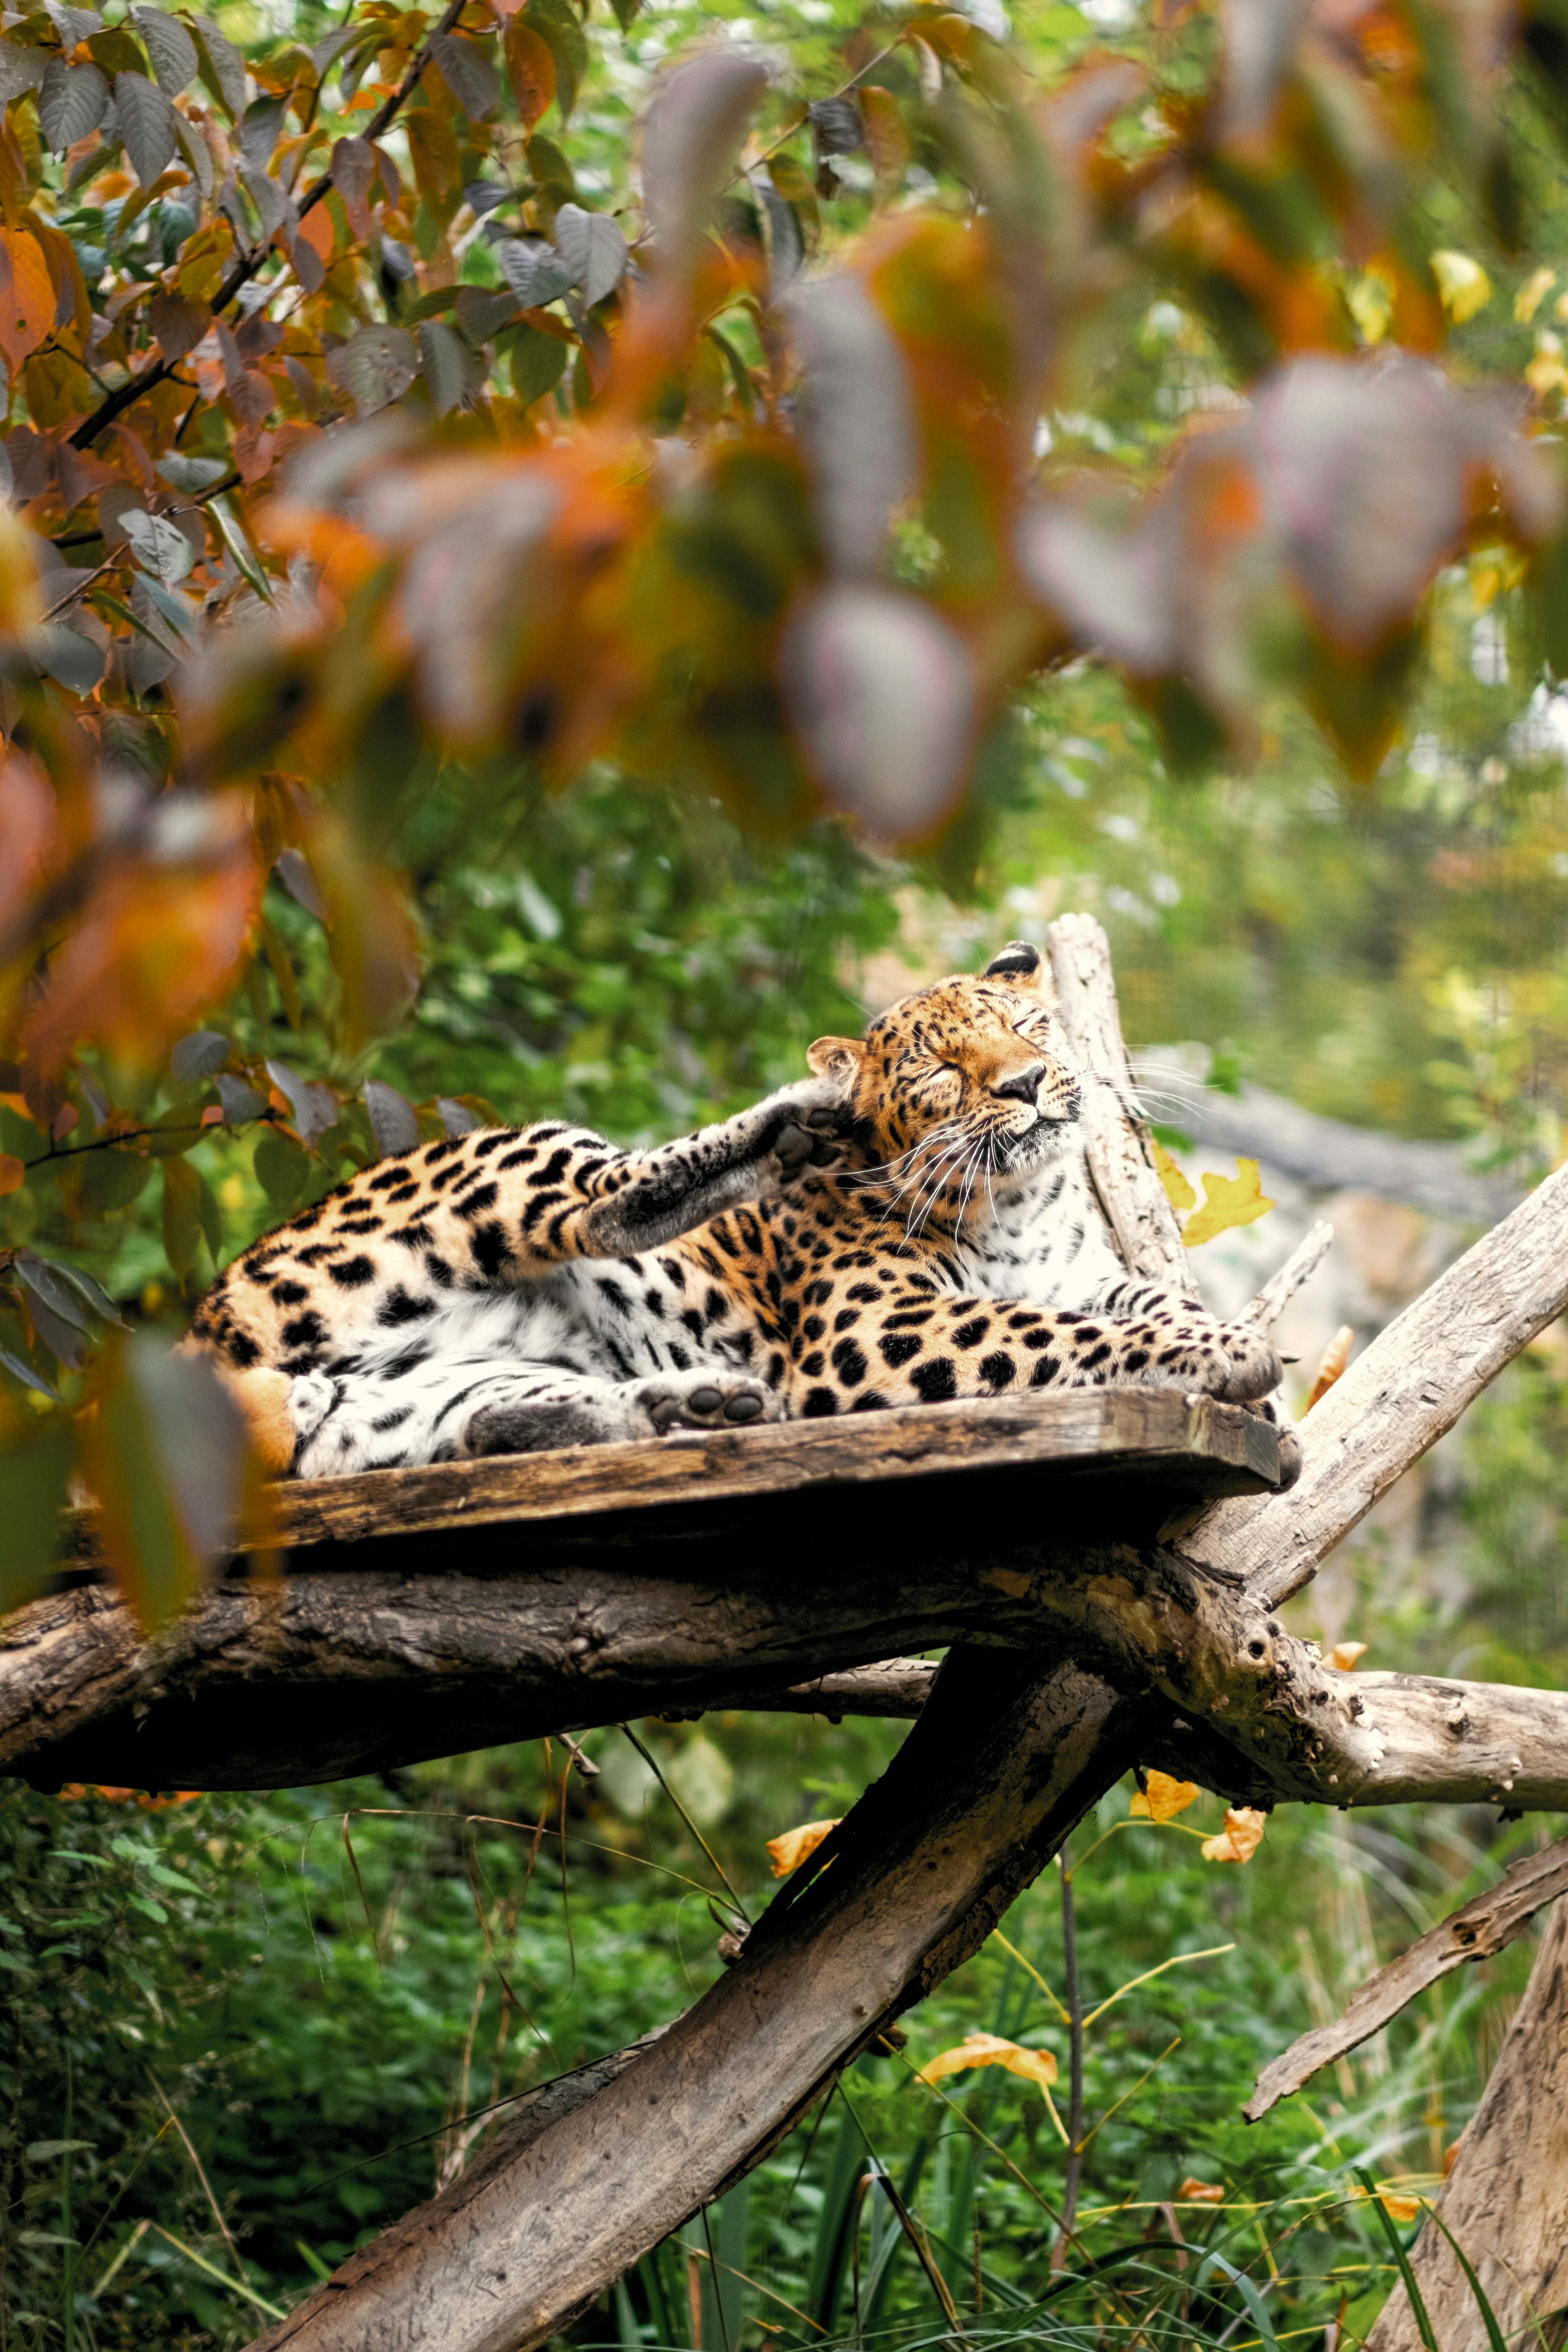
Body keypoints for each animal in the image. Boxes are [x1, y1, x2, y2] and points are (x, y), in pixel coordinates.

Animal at [187, 940, 1288, 1480]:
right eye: (940, 1070)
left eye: (1027, 1027)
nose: (1024, 1084)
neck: (1019, 1203)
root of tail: (201, 1331)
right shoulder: (873, 1328)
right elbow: (1043, 1332)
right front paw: (1232, 1357)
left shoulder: (1084, 1272)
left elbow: (1138, 1303)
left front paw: (1230, 1357)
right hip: (507, 1154)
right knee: (606, 1203)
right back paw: (791, 1125)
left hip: (393, 1399)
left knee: (413, 1424)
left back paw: (679, 1408)